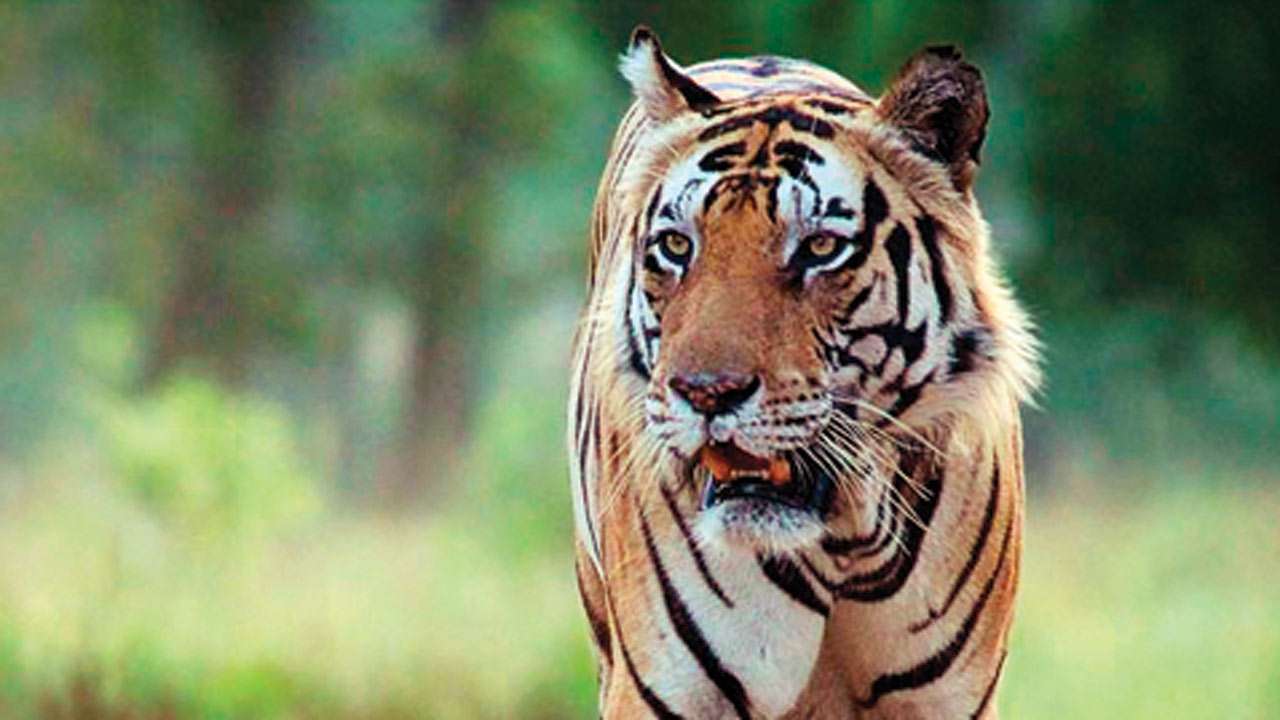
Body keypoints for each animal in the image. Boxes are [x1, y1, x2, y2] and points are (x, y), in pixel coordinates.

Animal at [568, 26, 1039, 719]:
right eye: (678, 247)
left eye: (820, 248)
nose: (705, 395)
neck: (848, 544)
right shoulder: (668, 694)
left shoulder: (950, 700)